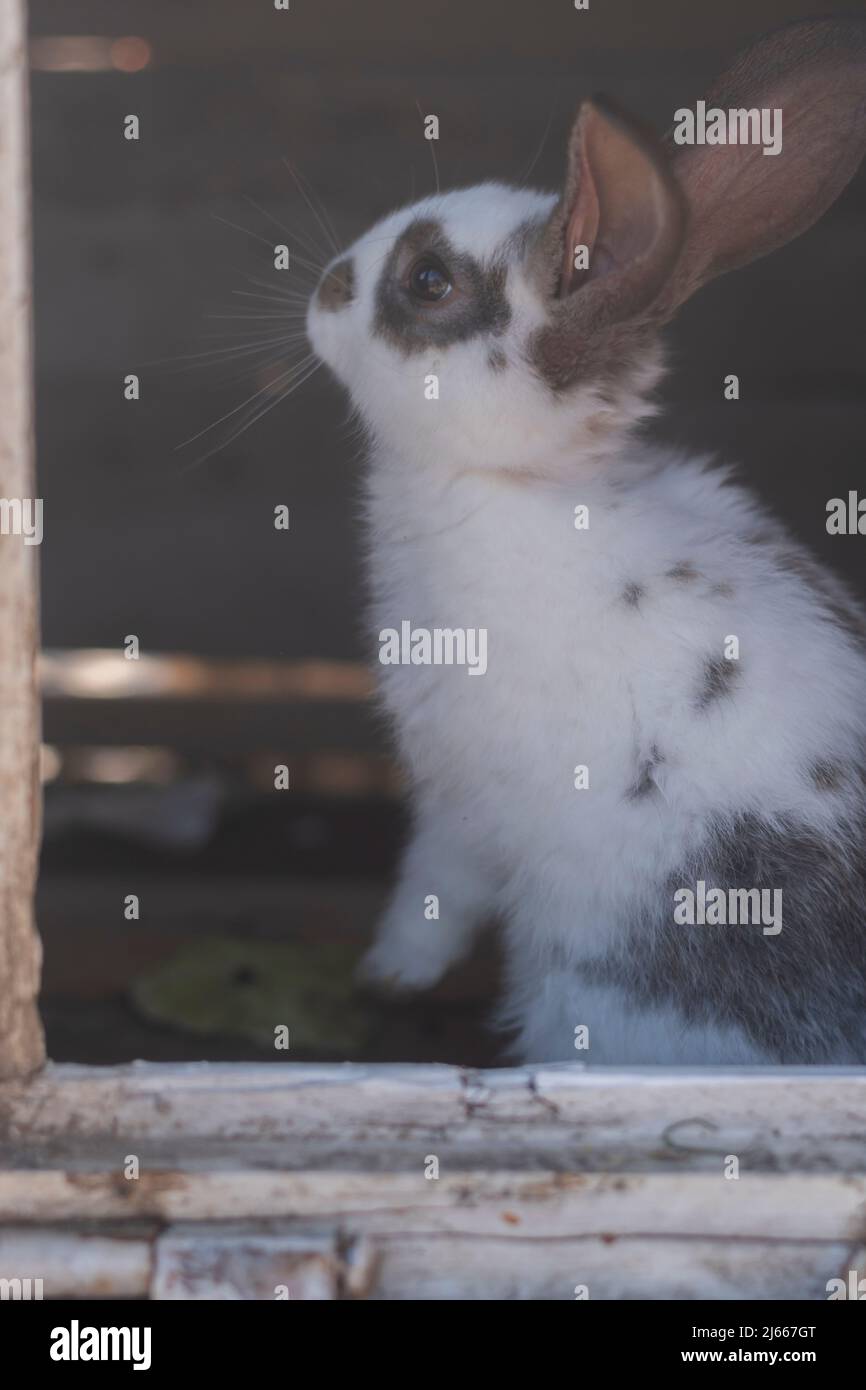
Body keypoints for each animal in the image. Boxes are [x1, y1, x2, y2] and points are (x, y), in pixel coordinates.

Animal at [306, 17, 866, 1064]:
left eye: (428, 281)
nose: (323, 289)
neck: (517, 486)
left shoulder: (462, 801)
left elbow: (434, 894)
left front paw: (386, 974)